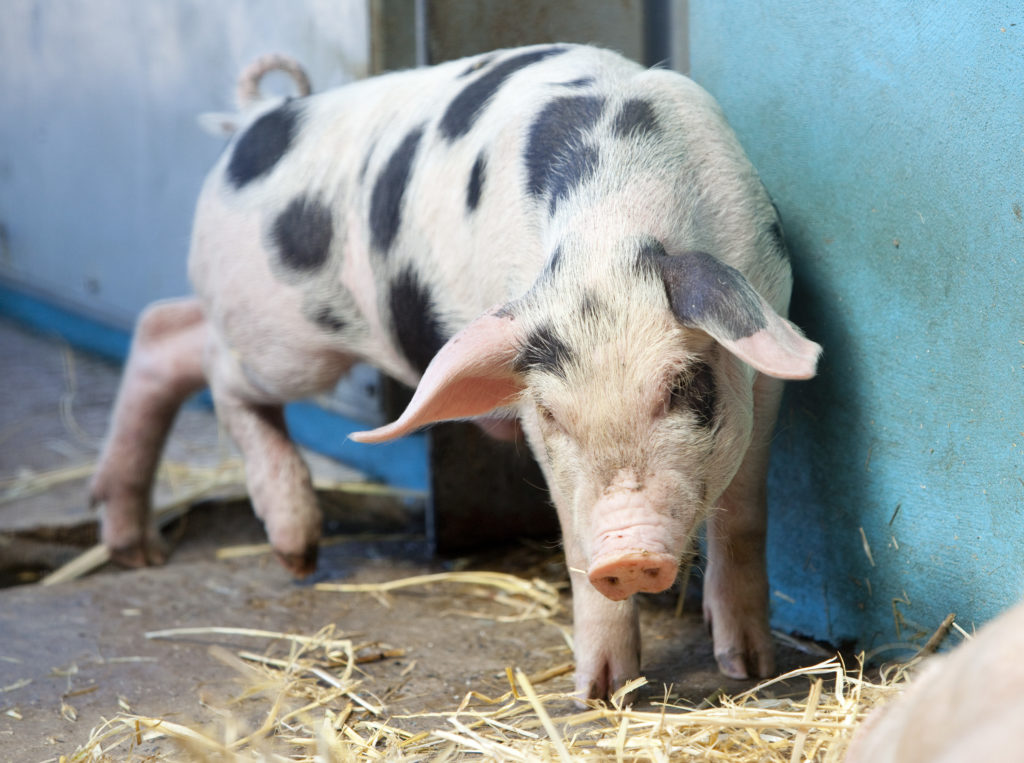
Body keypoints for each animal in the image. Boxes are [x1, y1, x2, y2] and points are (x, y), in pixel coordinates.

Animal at [90, 44, 821, 700]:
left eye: (682, 386)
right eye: (551, 413)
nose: (626, 553)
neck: (612, 228)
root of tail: (258, 119)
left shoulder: (768, 350)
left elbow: (744, 513)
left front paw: (750, 666)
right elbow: (572, 535)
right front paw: (600, 694)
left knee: (163, 330)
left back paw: (134, 549)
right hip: (283, 339)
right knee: (212, 365)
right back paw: (294, 553)